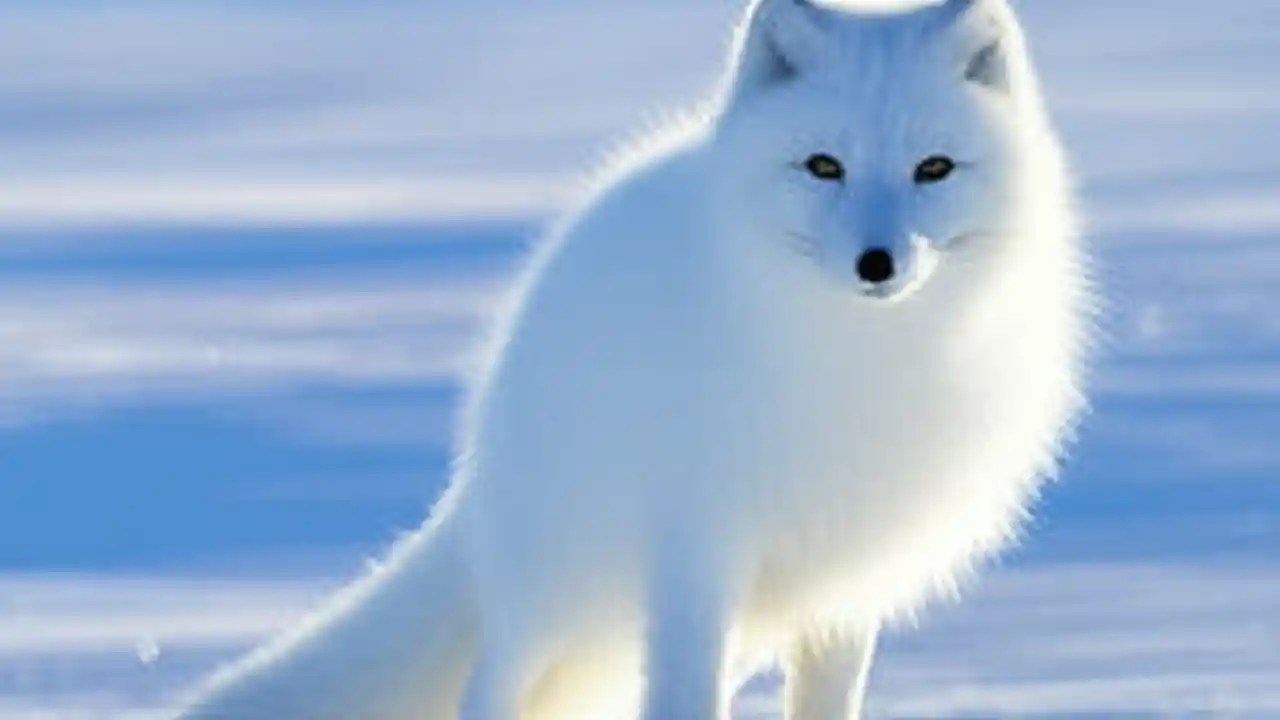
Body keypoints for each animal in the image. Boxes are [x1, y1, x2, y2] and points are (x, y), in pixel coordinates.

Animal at [178, 0, 1091, 717]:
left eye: (933, 168)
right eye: (823, 166)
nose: (878, 263)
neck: (860, 362)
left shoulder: (844, 584)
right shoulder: (695, 551)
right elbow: (684, 699)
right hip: (555, 592)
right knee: (489, 683)